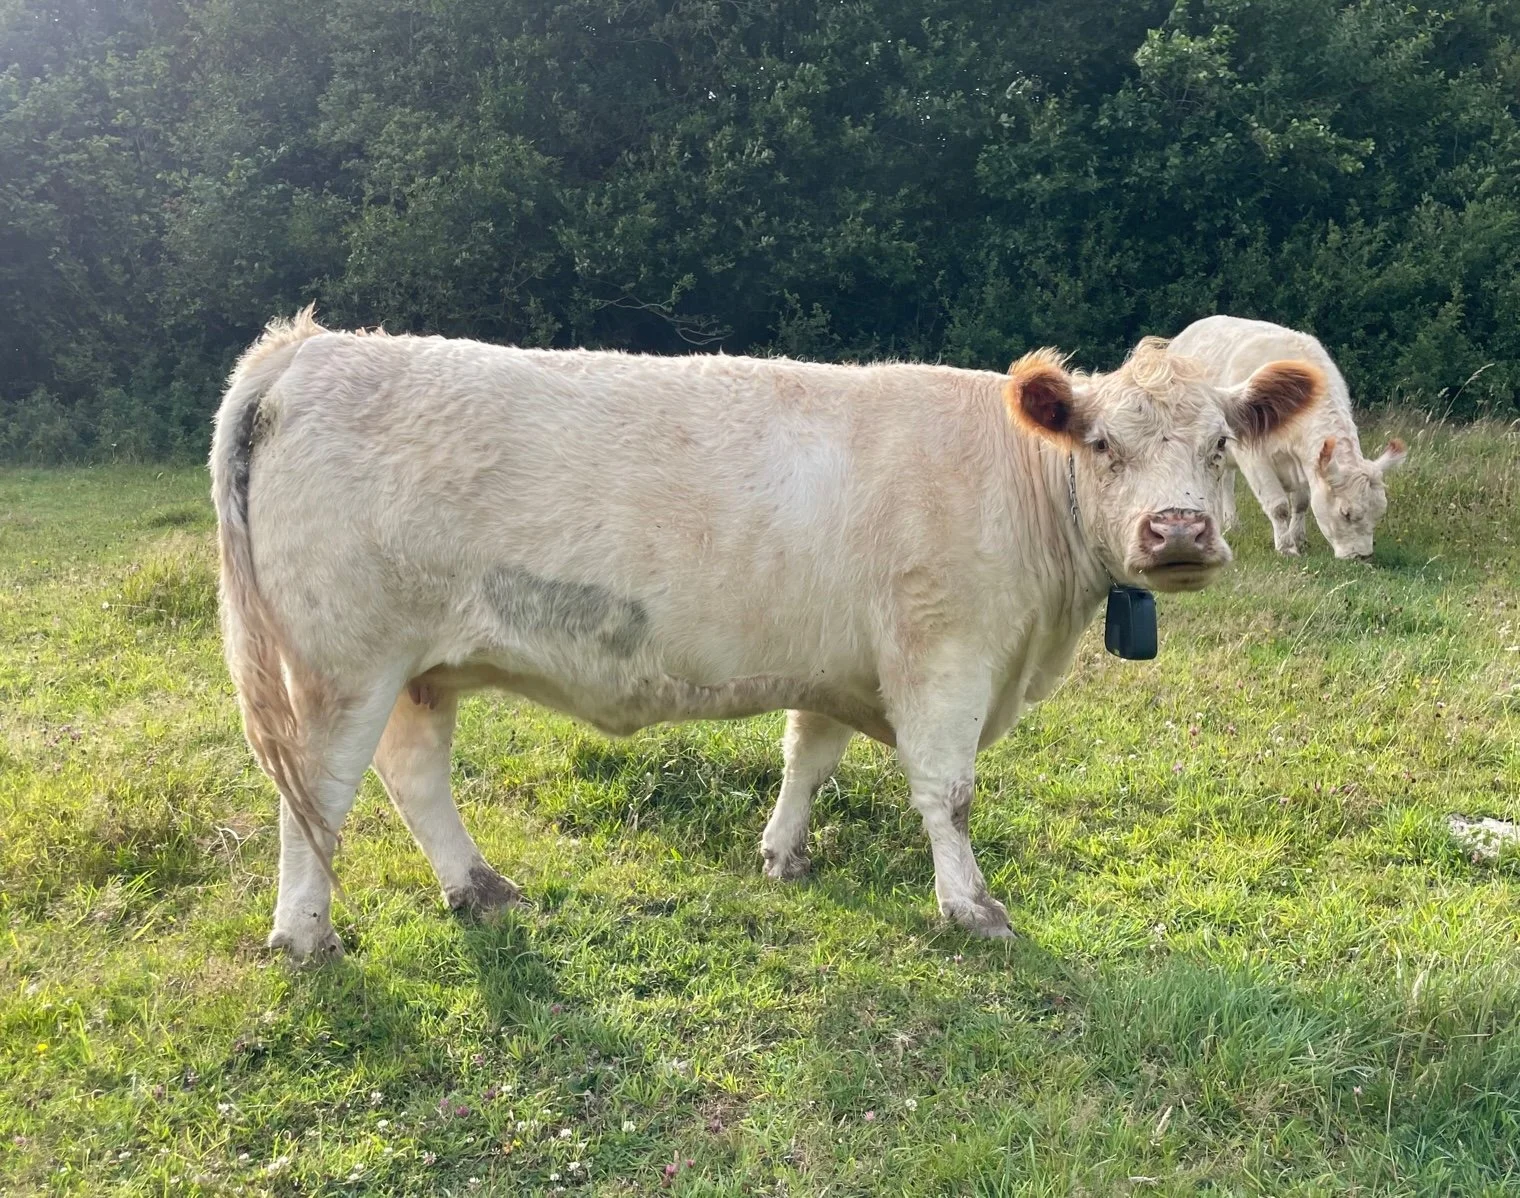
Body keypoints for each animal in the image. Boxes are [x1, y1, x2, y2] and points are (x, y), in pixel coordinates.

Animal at [210, 310, 1325, 960]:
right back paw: (304, 937)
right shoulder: (945, 653)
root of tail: (311, 343)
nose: (1175, 531)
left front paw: (782, 856)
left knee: (413, 774)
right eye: (1100, 444)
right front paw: (970, 908)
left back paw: (479, 889)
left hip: (418, 666)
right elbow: (949, 792)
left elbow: (807, 758)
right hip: (343, 662)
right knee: (318, 794)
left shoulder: (840, 665)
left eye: (1219, 445)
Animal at [1169, 316, 1406, 559]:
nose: (1362, 556)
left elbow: (1301, 503)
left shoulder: (1306, 461)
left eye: (1379, 513)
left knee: (1224, 481)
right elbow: (1278, 506)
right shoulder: (1254, 457)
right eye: (1346, 513)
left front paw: (1299, 539)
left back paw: (1230, 523)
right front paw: (1286, 548)